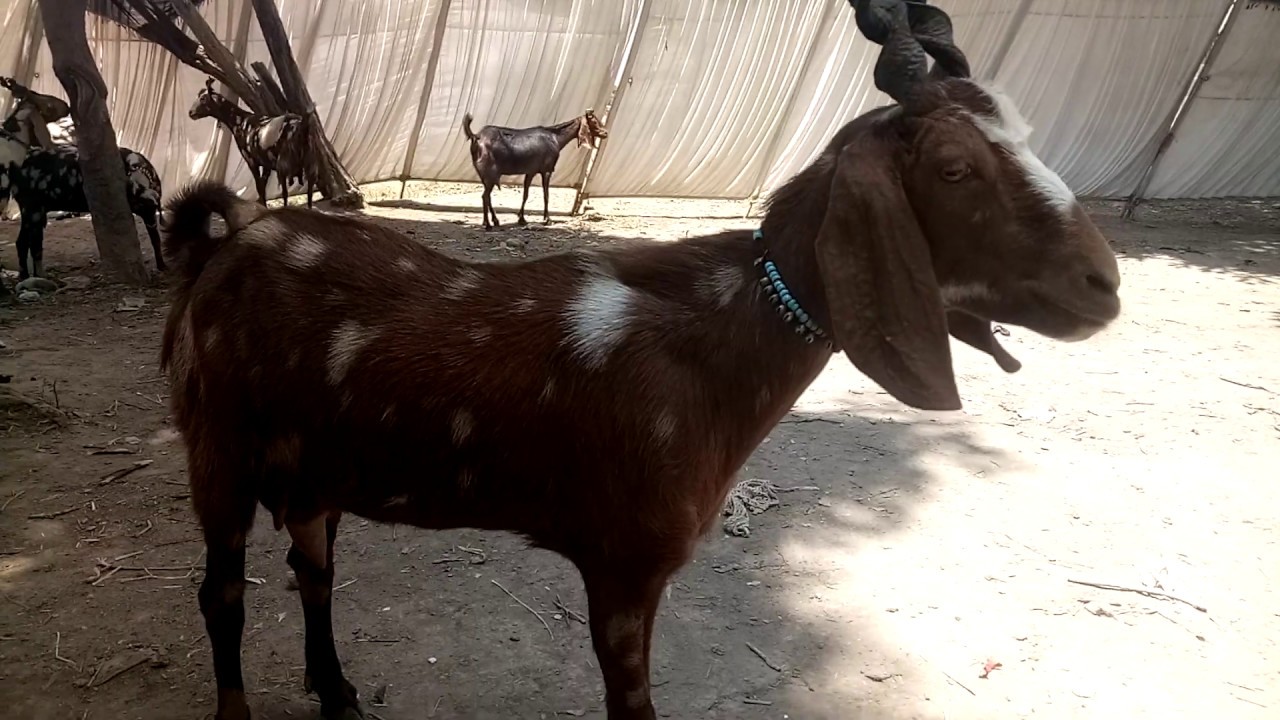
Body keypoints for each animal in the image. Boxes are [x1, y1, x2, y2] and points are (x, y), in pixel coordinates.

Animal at [0, 82, 164, 279]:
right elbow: (155, 238)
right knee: (24, 243)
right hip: (31, 209)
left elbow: (156, 239)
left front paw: (163, 267)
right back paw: (26, 277)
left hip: (35, 211)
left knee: (30, 244)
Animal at [189, 78, 313, 208]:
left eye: (203, 98)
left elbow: (259, 186)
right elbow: (262, 186)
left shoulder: (251, 159)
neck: (240, 122)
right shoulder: (266, 162)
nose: (190, 113)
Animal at [462, 108, 607, 230]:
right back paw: (487, 224)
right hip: (490, 173)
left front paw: (521, 218)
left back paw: (495, 221)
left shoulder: (530, 171)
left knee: (487, 196)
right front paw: (547, 219)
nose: (605, 132)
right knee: (485, 196)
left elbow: (525, 194)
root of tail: (476, 136)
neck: (555, 138)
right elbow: (546, 195)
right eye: (593, 120)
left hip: (484, 175)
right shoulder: (547, 170)